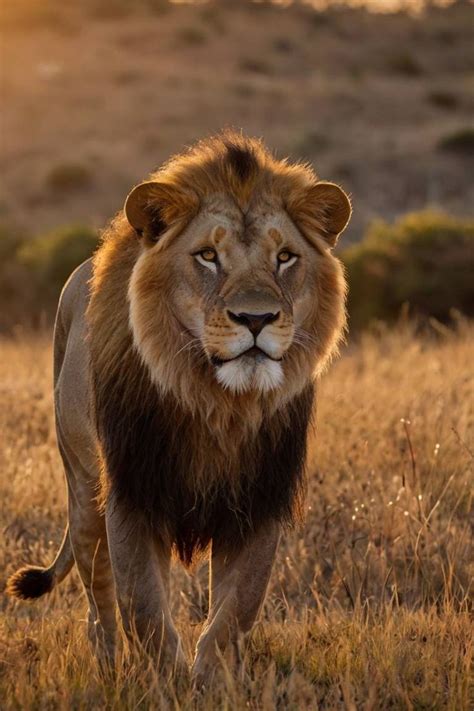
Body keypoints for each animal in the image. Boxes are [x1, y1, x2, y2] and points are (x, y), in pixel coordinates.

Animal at [7, 131, 351, 681]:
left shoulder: (258, 502)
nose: (256, 319)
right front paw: (167, 683)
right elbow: (144, 609)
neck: (218, 403)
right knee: (99, 598)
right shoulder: (132, 495)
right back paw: (108, 666)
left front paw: (210, 683)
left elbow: (234, 612)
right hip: (82, 491)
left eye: (285, 258)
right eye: (208, 255)